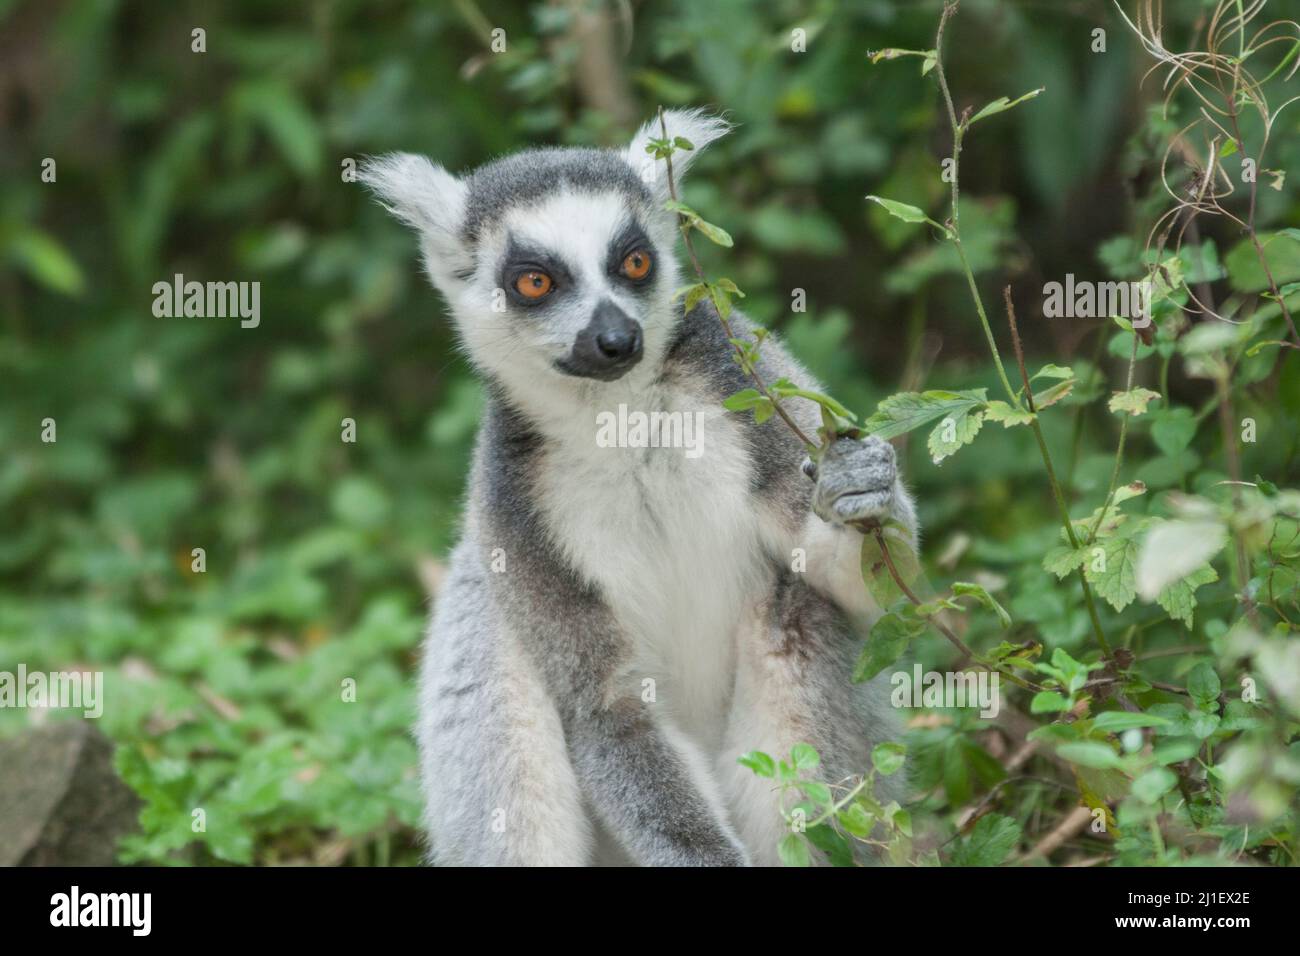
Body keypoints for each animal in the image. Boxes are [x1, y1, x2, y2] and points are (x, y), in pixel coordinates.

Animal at [360, 109, 917, 866]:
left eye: (634, 263)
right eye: (534, 283)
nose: (617, 338)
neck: (616, 418)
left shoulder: (742, 382)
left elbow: (868, 595)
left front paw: (856, 493)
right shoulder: (512, 499)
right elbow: (609, 703)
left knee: (796, 620)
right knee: (497, 673)